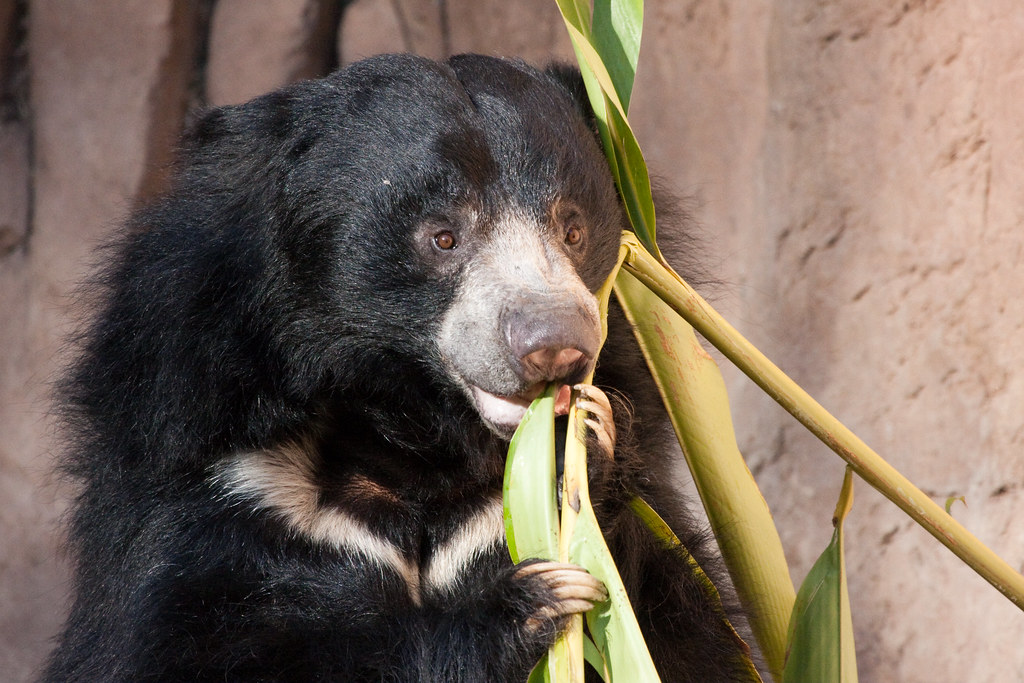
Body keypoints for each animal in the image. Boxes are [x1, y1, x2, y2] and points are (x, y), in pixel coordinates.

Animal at [43, 53, 753, 682]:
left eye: (573, 230)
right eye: (442, 237)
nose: (557, 345)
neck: (413, 441)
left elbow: (685, 640)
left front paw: (581, 452)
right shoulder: (222, 476)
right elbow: (200, 652)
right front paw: (528, 603)